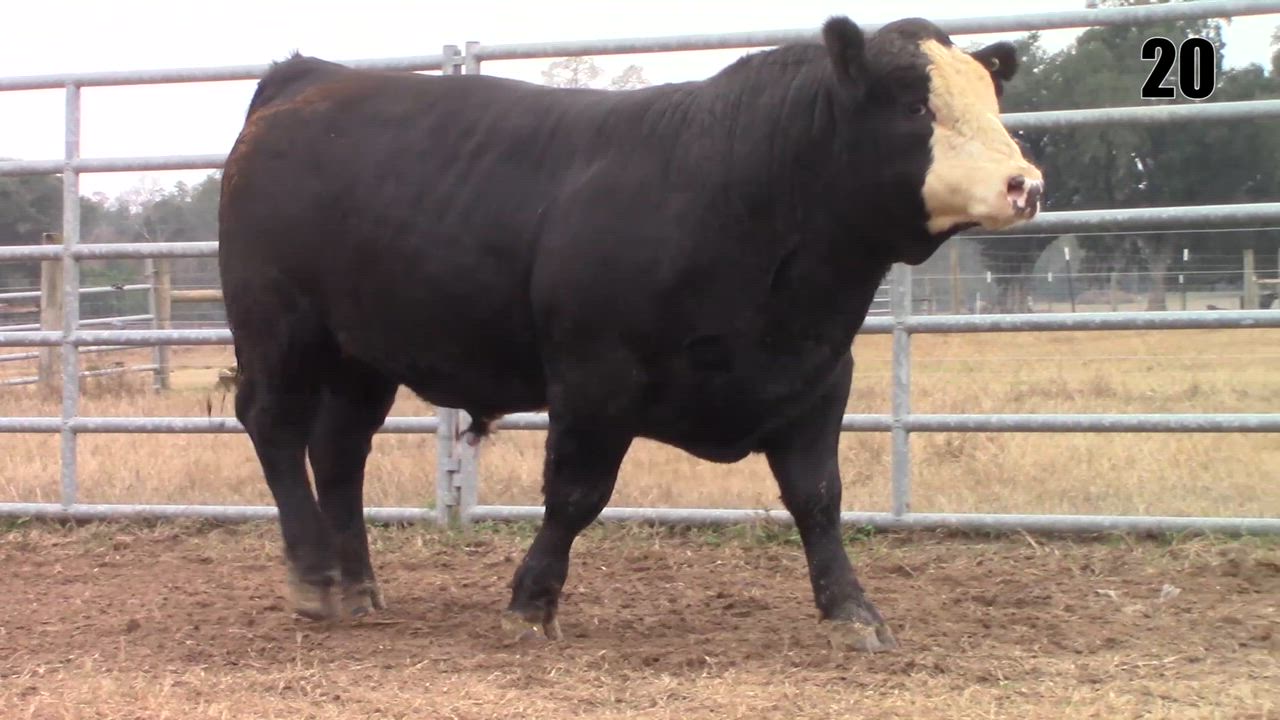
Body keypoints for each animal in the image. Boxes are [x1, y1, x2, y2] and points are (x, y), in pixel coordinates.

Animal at [217, 15, 1043, 653]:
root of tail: (308, 79)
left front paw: (853, 610)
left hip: (362, 354)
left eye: (989, 97)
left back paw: (356, 584)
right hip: (279, 329)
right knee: (275, 428)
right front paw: (531, 603)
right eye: (914, 106)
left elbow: (818, 498)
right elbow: (576, 494)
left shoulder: (816, 380)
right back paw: (314, 578)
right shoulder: (595, 381)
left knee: (340, 450)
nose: (1025, 184)